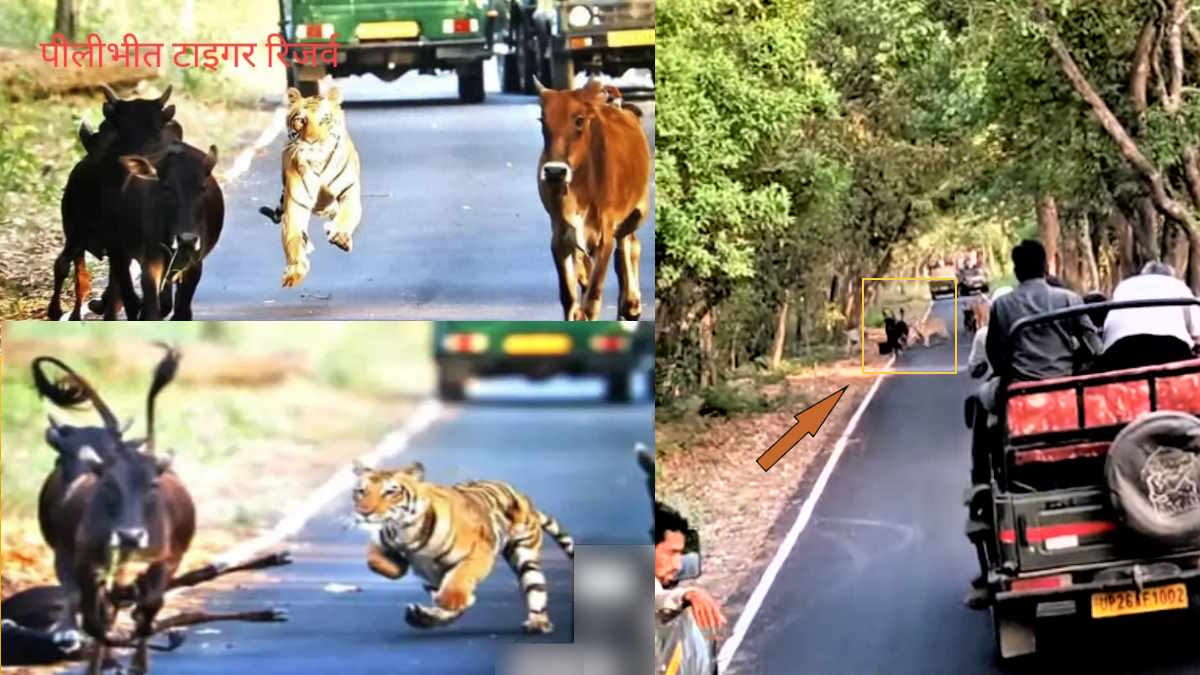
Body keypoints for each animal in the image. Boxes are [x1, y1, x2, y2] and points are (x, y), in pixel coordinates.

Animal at [258, 86, 362, 288]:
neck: (318, 164)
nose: (312, 141)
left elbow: (347, 215)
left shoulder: (349, 191)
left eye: (325, 120)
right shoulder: (295, 205)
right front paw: (294, 272)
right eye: (301, 120)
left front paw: (340, 235)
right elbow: (292, 238)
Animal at [351, 461, 575, 634]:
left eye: (390, 492)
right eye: (361, 491)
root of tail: (522, 496)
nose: (364, 512)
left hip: (525, 554)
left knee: (535, 586)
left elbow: (460, 577)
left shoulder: (480, 552)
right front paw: (399, 566)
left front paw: (451, 599)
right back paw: (423, 616)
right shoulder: (380, 540)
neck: (407, 533)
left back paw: (537, 623)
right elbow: (374, 562)